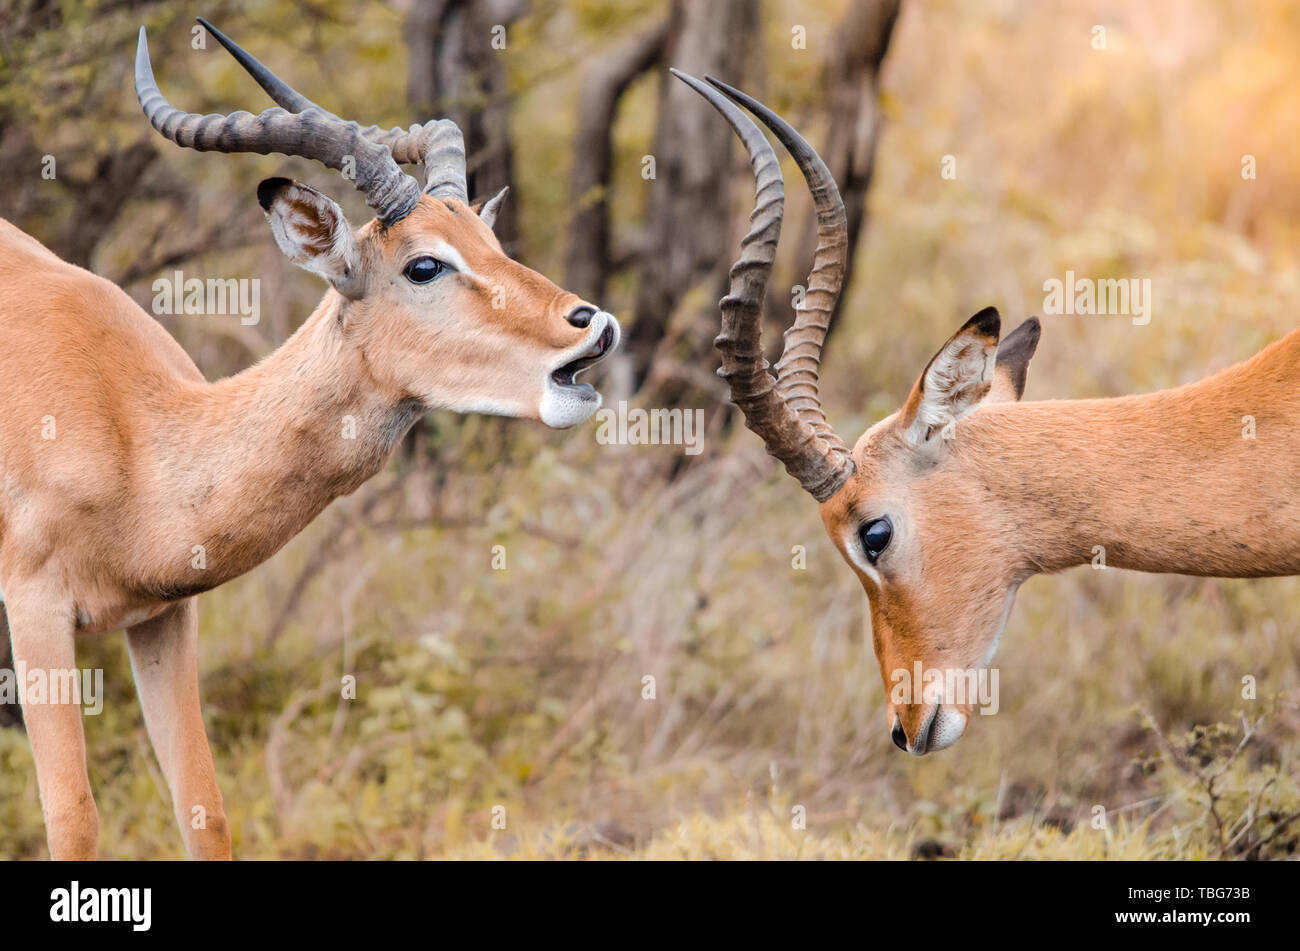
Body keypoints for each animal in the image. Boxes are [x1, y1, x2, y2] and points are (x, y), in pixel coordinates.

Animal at [0, 20, 619, 860]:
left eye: (490, 241)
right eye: (425, 264)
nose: (594, 326)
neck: (136, 434)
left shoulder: (163, 616)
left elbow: (205, 808)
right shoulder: (35, 607)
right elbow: (72, 815)